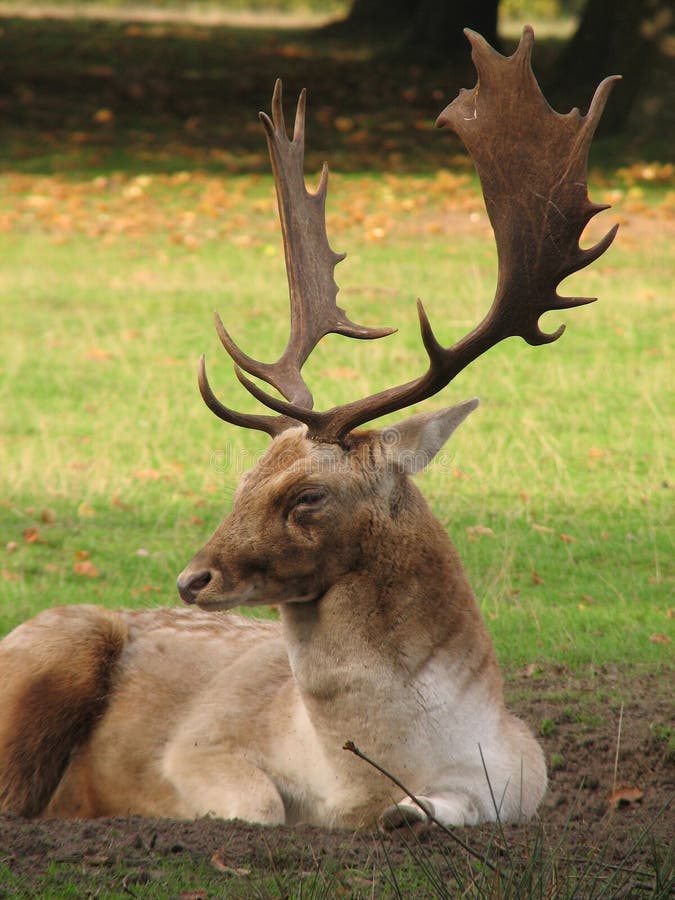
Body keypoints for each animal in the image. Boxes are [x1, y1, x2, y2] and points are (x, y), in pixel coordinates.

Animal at [0, 28, 618, 829]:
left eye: (307, 496)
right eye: (242, 480)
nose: (191, 578)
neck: (360, 778)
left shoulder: (520, 778)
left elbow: (431, 811)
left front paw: (406, 813)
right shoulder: (200, 742)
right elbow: (260, 807)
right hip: (55, 645)